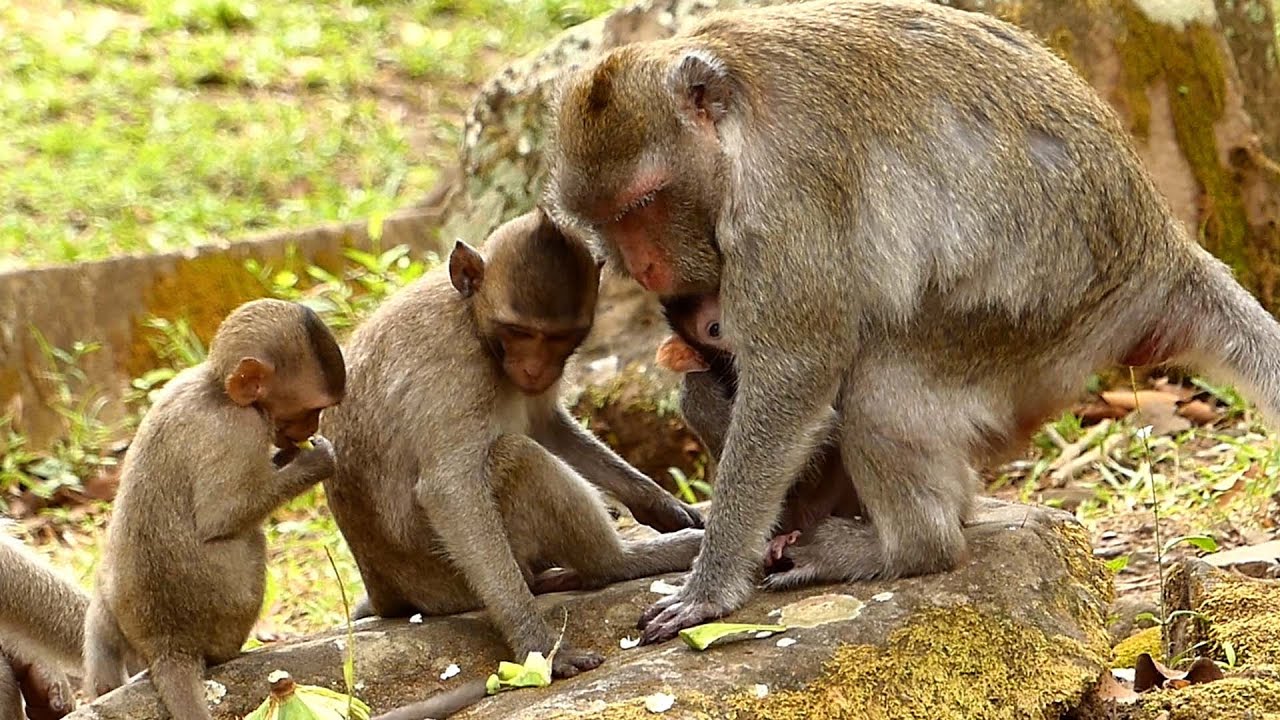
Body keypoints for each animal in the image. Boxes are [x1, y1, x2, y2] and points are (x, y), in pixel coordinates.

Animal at [83, 298, 345, 719]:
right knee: (249, 538)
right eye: (312, 409)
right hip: (222, 619)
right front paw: (315, 462)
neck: (216, 390)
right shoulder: (239, 428)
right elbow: (221, 515)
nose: (311, 428)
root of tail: (168, 647)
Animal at [320, 207, 704, 679]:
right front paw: (536, 645)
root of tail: (388, 594)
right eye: (519, 332)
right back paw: (619, 562)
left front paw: (662, 504)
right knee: (518, 459)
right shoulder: (456, 368)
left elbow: (545, 424)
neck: (471, 316)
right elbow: (450, 490)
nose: (536, 370)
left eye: (560, 338)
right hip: (446, 578)